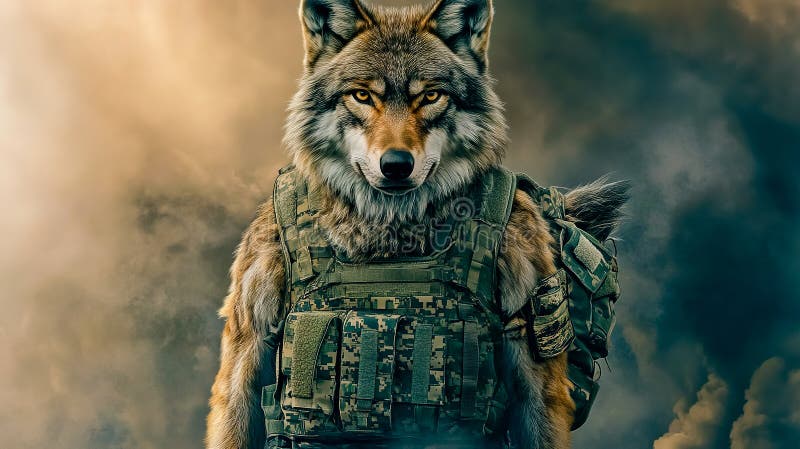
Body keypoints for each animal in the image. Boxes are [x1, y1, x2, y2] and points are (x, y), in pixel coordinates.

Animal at [206, 1, 628, 448]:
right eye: (362, 95)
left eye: (430, 96)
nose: (395, 165)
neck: (388, 230)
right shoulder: (247, 343)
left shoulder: (536, 371)